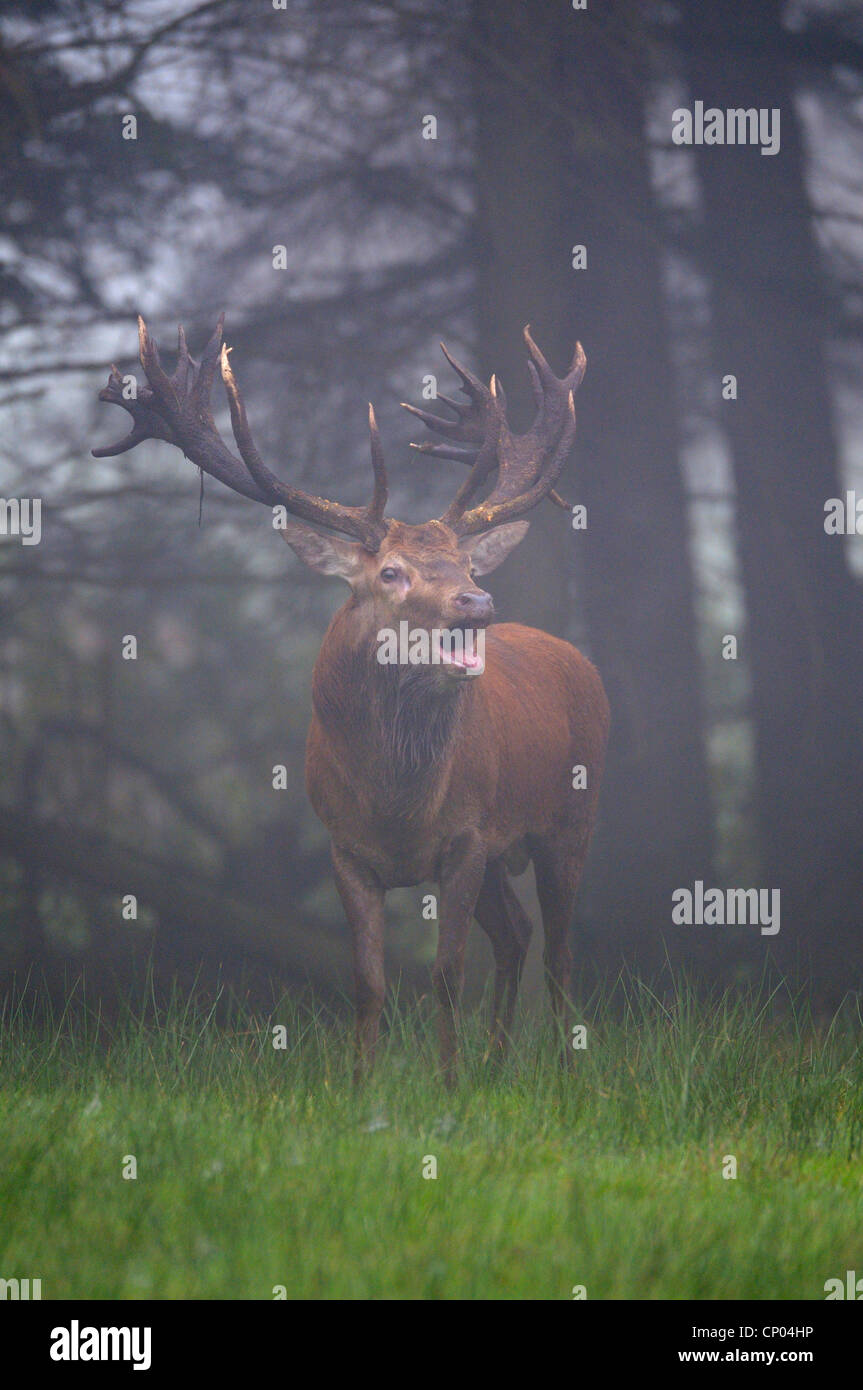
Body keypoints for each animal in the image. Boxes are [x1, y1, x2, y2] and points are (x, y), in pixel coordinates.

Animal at [93, 314, 609, 1082]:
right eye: (390, 572)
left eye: (465, 564)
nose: (477, 601)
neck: (397, 807)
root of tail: (578, 659)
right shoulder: (344, 845)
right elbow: (367, 980)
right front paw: (362, 1085)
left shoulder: (466, 836)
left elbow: (446, 974)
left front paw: (448, 1086)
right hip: (507, 853)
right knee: (518, 934)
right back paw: (495, 1066)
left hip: (571, 819)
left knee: (562, 952)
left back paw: (564, 1074)